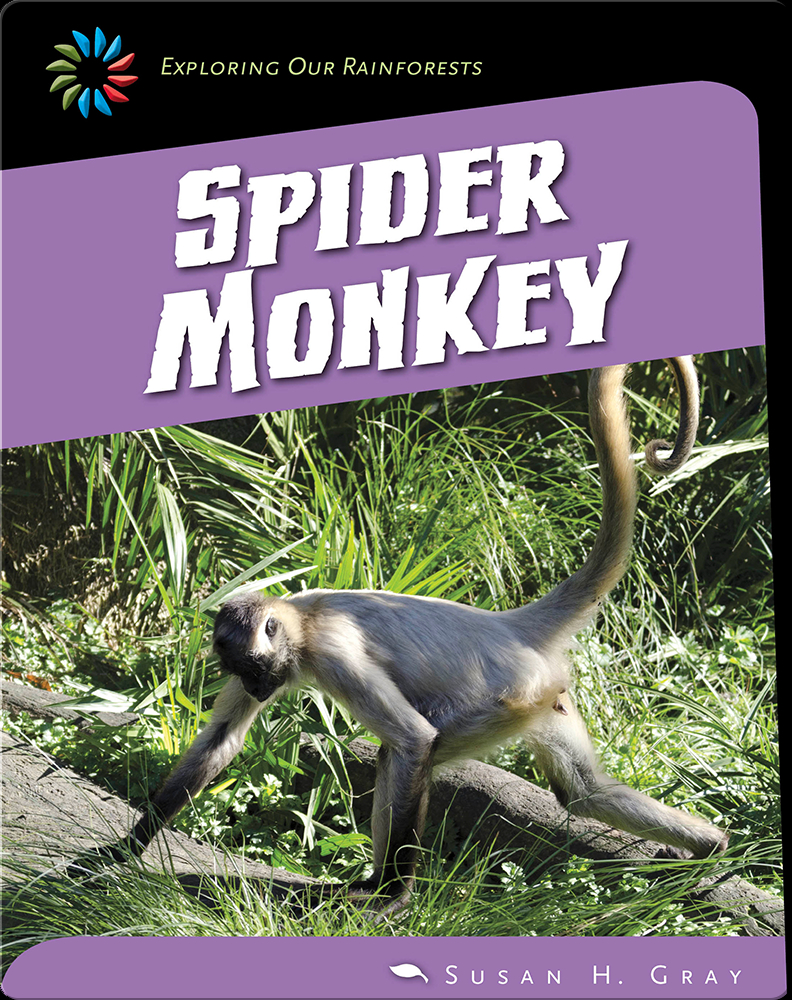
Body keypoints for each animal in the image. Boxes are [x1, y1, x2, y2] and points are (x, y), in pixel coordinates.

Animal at [118, 357, 728, 910]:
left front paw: (393, 898)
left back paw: (384, 888)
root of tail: (505, 623)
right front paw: (120, 851)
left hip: (506, 699)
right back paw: (713, 845)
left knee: (406, 752)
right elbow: (220, 743)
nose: (256, 687)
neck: (303, 617)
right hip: (544, 695)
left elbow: (413, 739)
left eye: (252, 667)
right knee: (582, 792)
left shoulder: (331, 650)